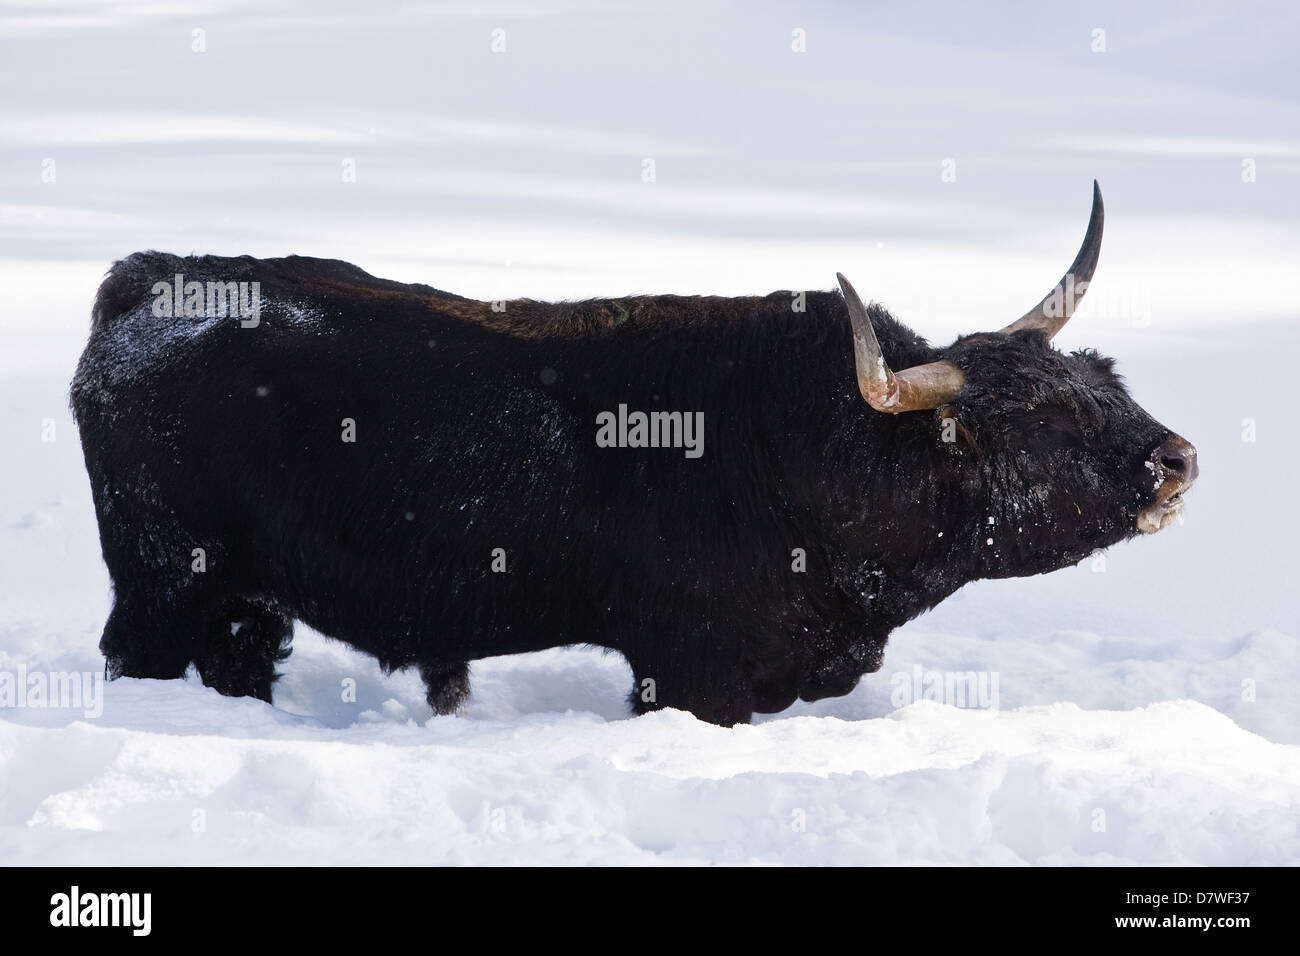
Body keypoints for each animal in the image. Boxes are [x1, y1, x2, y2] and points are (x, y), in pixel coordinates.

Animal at [70, 181, 1197, 726]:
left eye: (1102, 376)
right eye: (1040, 422)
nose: (1176, 458)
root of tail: (149, 279)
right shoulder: (691, 671)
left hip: (243, 605)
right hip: (164, 587)